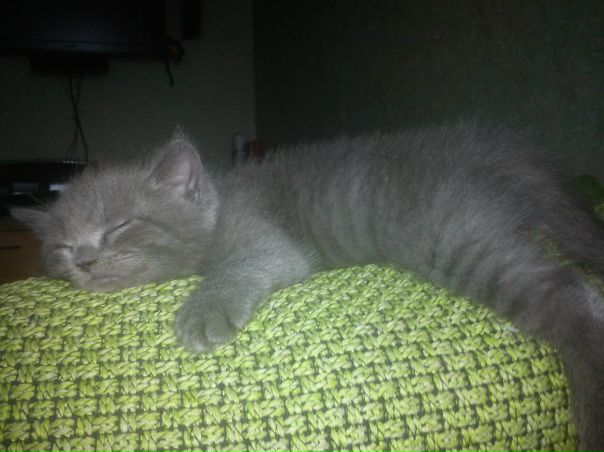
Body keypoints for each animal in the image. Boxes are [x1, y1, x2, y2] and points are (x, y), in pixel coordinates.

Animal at [11, 122, 604, 450]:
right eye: (61, 247)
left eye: (119, 225)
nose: (85, 260)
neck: (220, 205)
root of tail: (495, 153)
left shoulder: (261, 236)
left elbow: (248, 265)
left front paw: (203, 312)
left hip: (453, 234)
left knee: (565, 296)